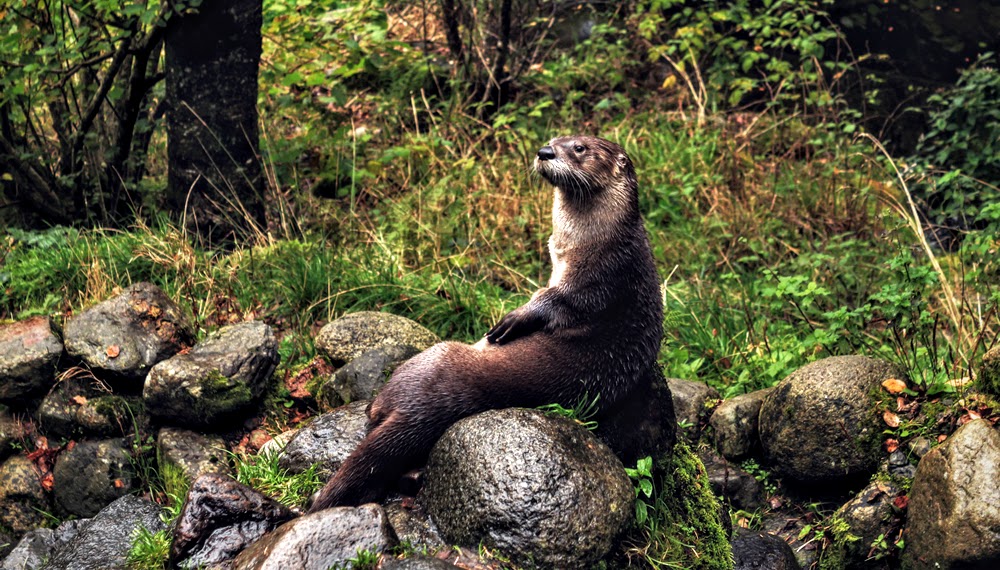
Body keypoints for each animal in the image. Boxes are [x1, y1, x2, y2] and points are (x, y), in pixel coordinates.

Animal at [309, 135, 665, 510]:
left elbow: (557, 301)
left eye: (579, 148)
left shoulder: (599, 277)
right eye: (553, 140)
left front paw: (513, 319)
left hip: (429, 359)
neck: (597, 239)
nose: (545, 152)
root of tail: (417, 410)